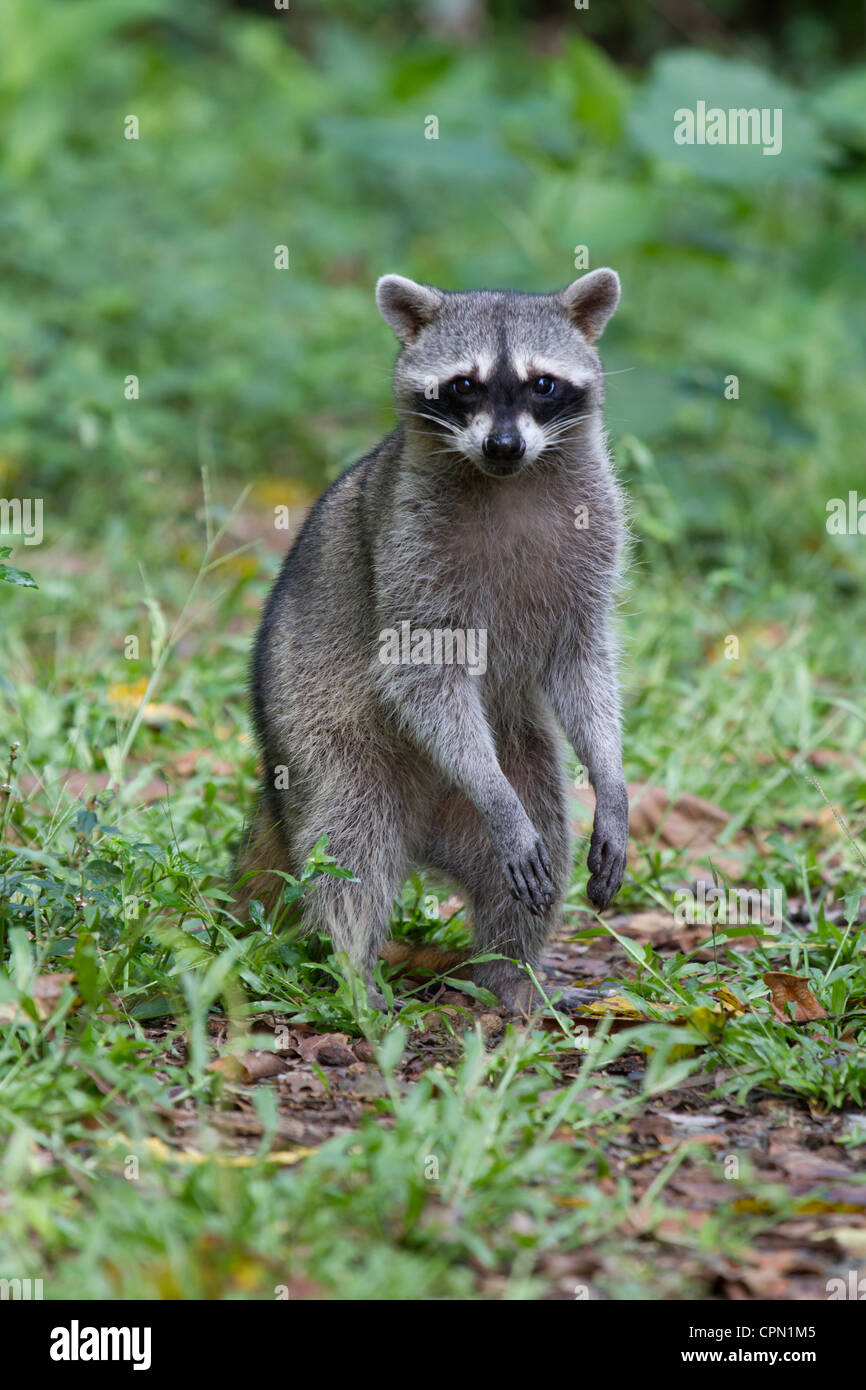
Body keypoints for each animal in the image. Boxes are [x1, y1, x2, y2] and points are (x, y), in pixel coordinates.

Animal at [233, 269, 629, 1014]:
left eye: (542, 384)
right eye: (463, 385)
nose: (503, 446)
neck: (511, 481)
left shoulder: (596, 538)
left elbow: (583, 665)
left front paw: (612, 783)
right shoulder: (408, 548)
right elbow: (421, 672)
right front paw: (499, 799)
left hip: (515, 751)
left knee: (541, 831)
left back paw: (512, 970)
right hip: (322, 738)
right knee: (349, 843)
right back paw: (354, 968)